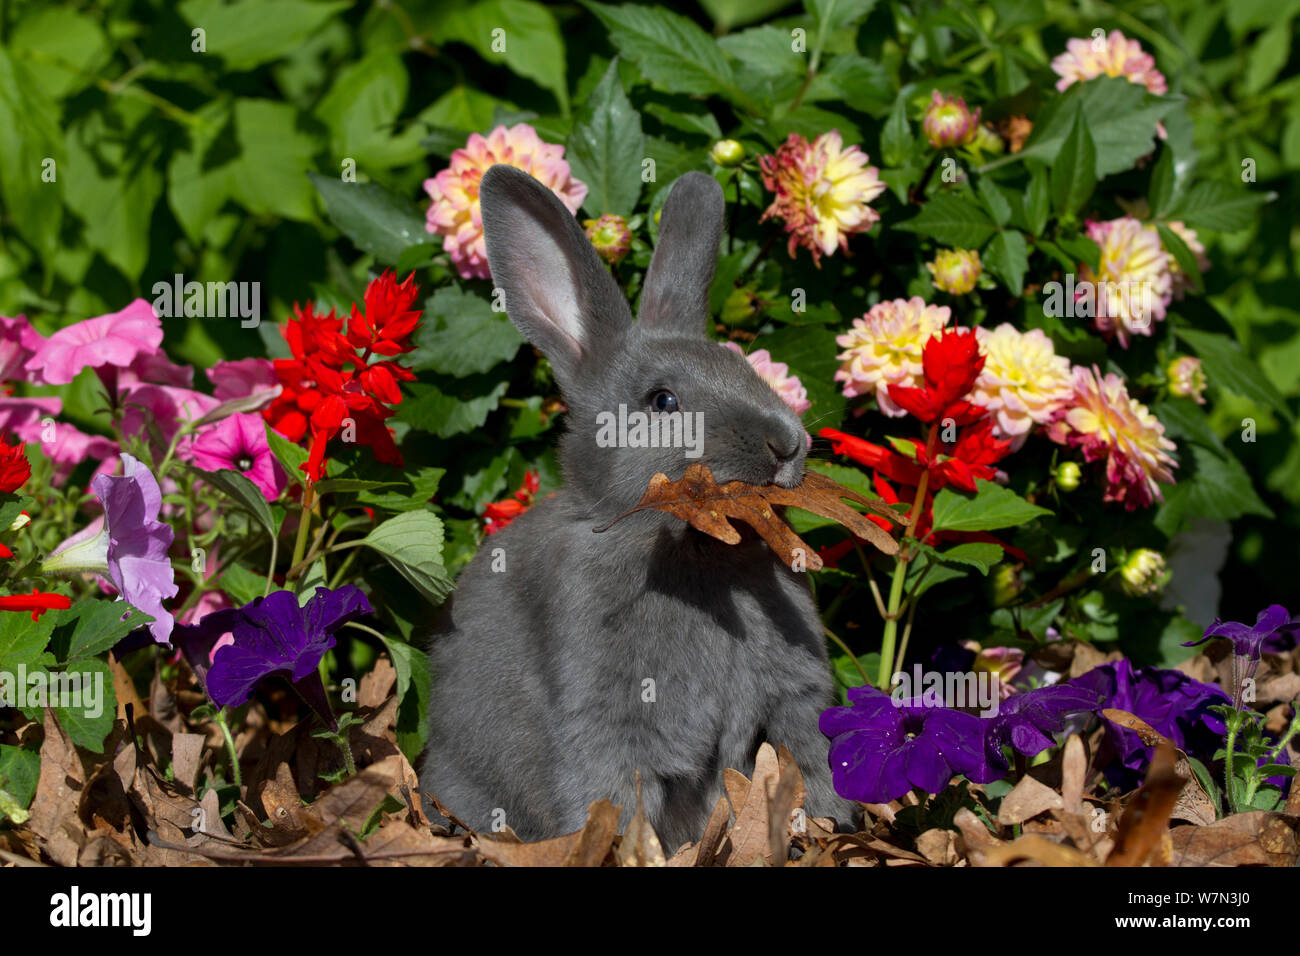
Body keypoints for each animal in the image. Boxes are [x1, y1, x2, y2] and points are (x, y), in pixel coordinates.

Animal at [419, 164, 857, 851]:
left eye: (743, 365)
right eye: (662, 402)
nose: (787, 443)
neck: (698, 549)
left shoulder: (795, 697)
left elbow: (810, 757)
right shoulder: (604, 717)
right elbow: (616, 801)